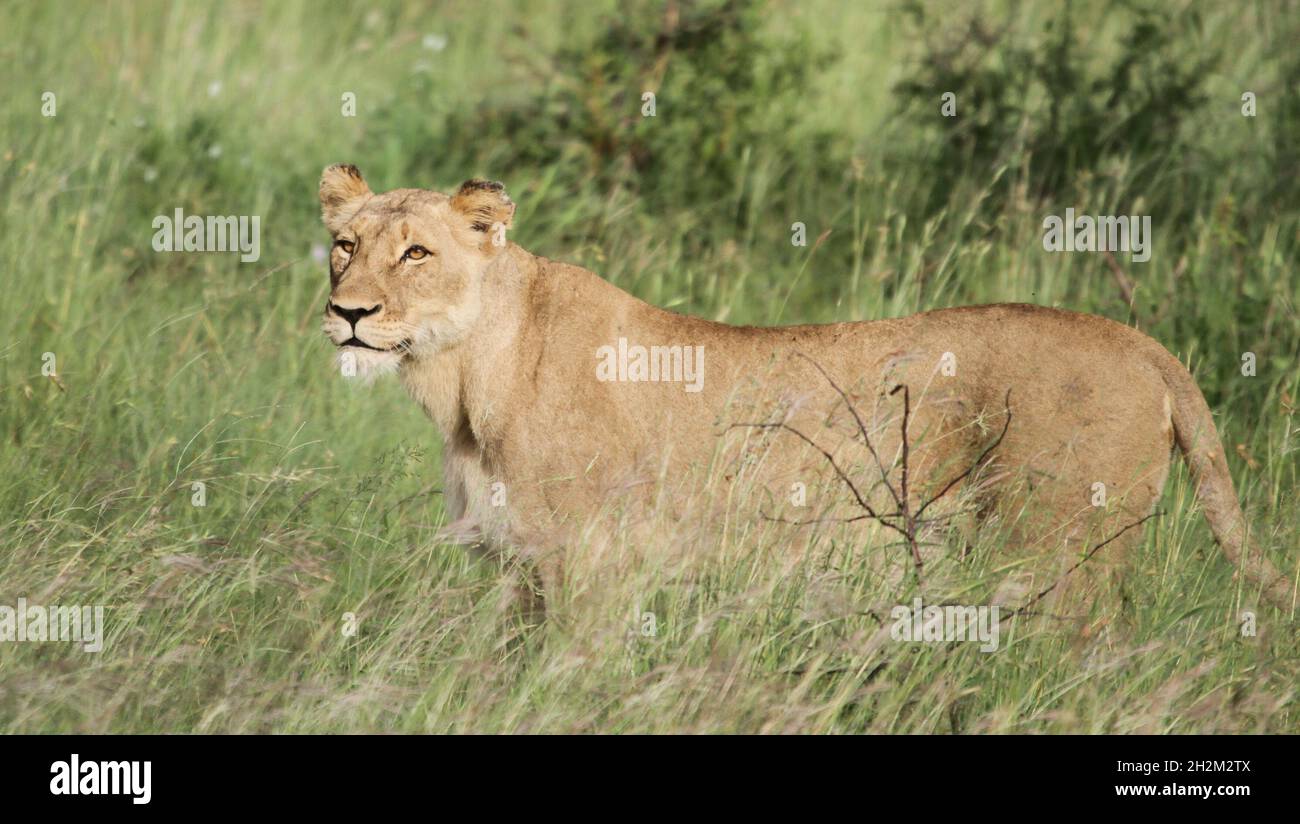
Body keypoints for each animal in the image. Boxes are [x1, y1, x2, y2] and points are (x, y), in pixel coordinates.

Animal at [318, 163, 1295, 614]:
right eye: (344, 246)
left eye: (417, 253)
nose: (348, 313)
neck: (459, 382)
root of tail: (1138, 339)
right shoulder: (522, 568)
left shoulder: (589, 565)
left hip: (1061, 562)